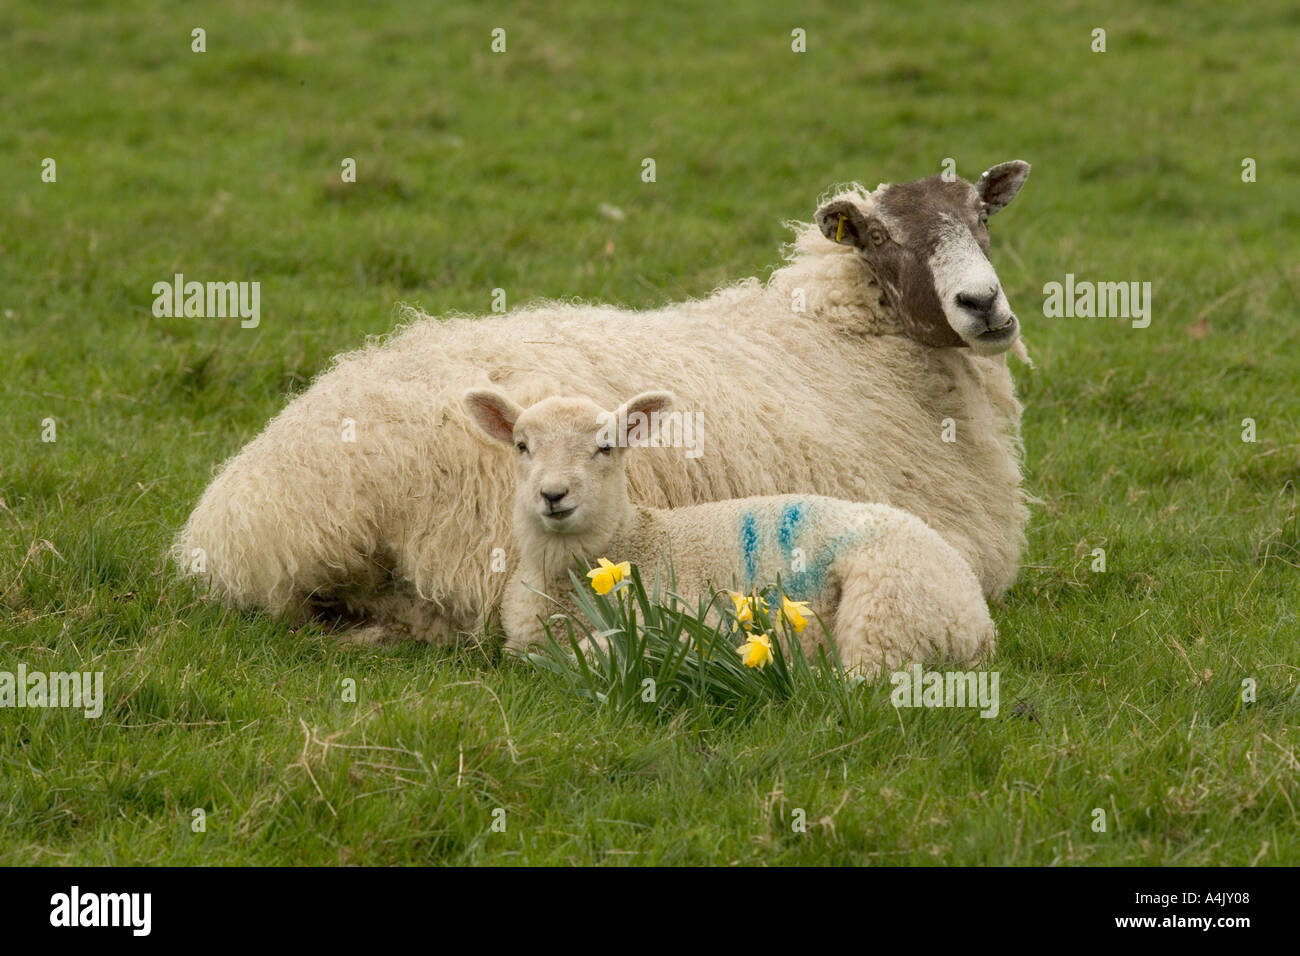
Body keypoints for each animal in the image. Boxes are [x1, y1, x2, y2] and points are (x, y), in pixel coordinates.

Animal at [463, 388, 995, 676]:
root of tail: (978, 623)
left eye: (606, 447)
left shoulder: (682, 620)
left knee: (867, 676)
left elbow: (587, 656)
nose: (553, 495)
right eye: (521, 446)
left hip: (889, 599)